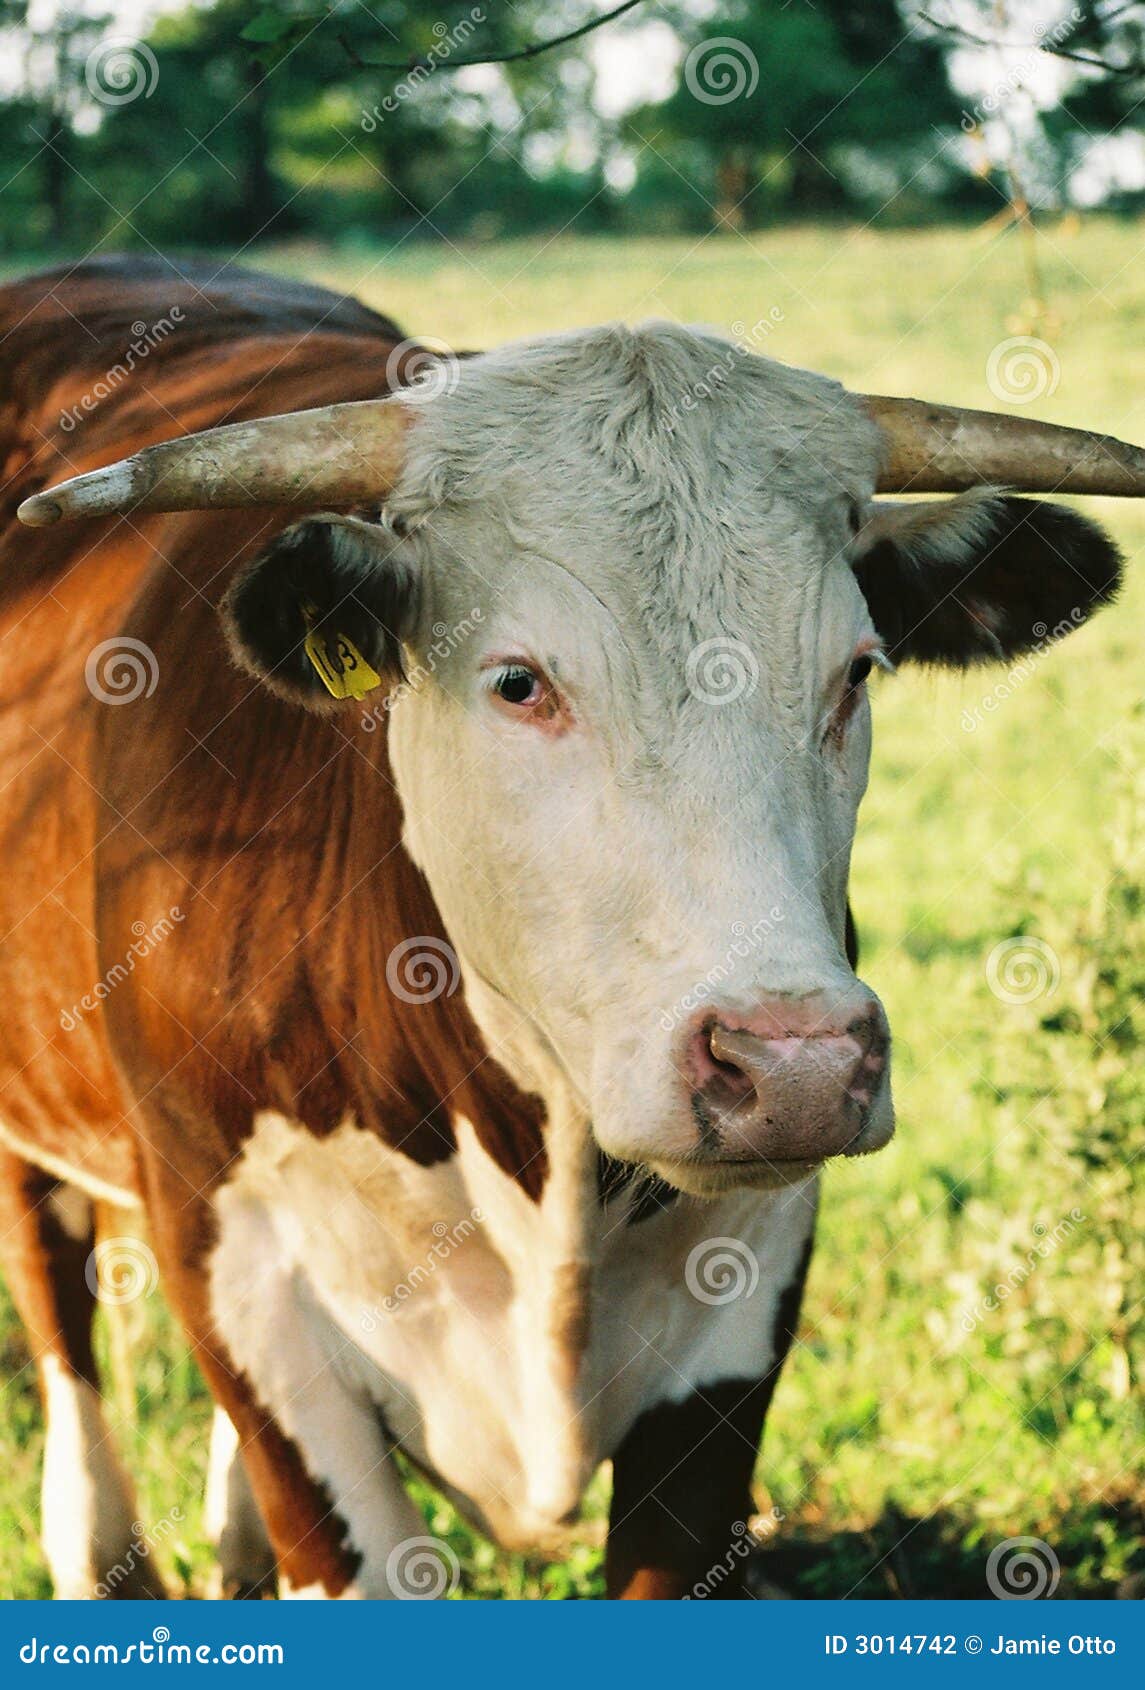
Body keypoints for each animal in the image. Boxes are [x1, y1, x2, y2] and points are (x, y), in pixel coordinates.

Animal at [1, 257, 1141, 1600]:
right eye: (517, 682)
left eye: (856, 671)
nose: (794, 1067)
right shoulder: (242, 1285)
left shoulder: (738, 1314)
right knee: (58, 1311)